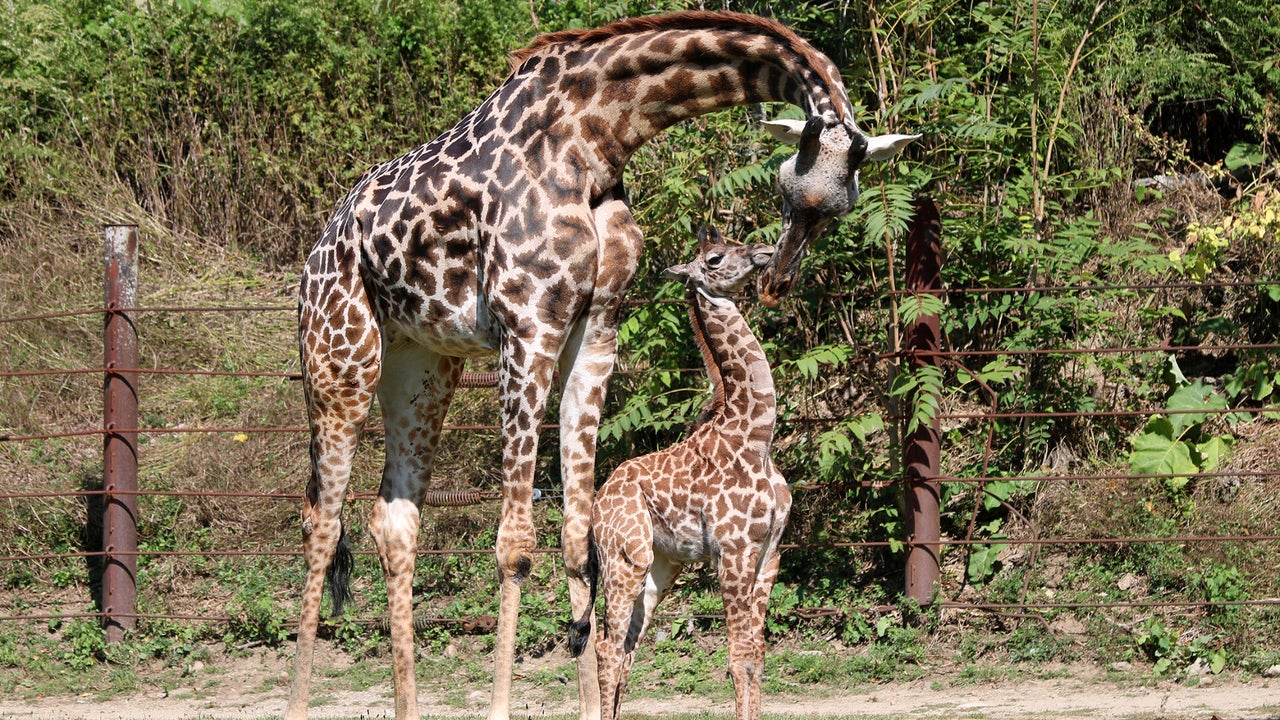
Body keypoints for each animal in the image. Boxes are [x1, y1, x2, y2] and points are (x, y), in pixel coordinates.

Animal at [571, 226, 790, 720]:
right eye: (715, 257)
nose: (764, 249)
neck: (756, 437)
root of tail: (597, 505)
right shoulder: (733, 551)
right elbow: (738, 657)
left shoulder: (769, 554)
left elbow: (759, 655)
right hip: (625, 558)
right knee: (607, 647)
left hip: (661, 567)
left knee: (628, 649)